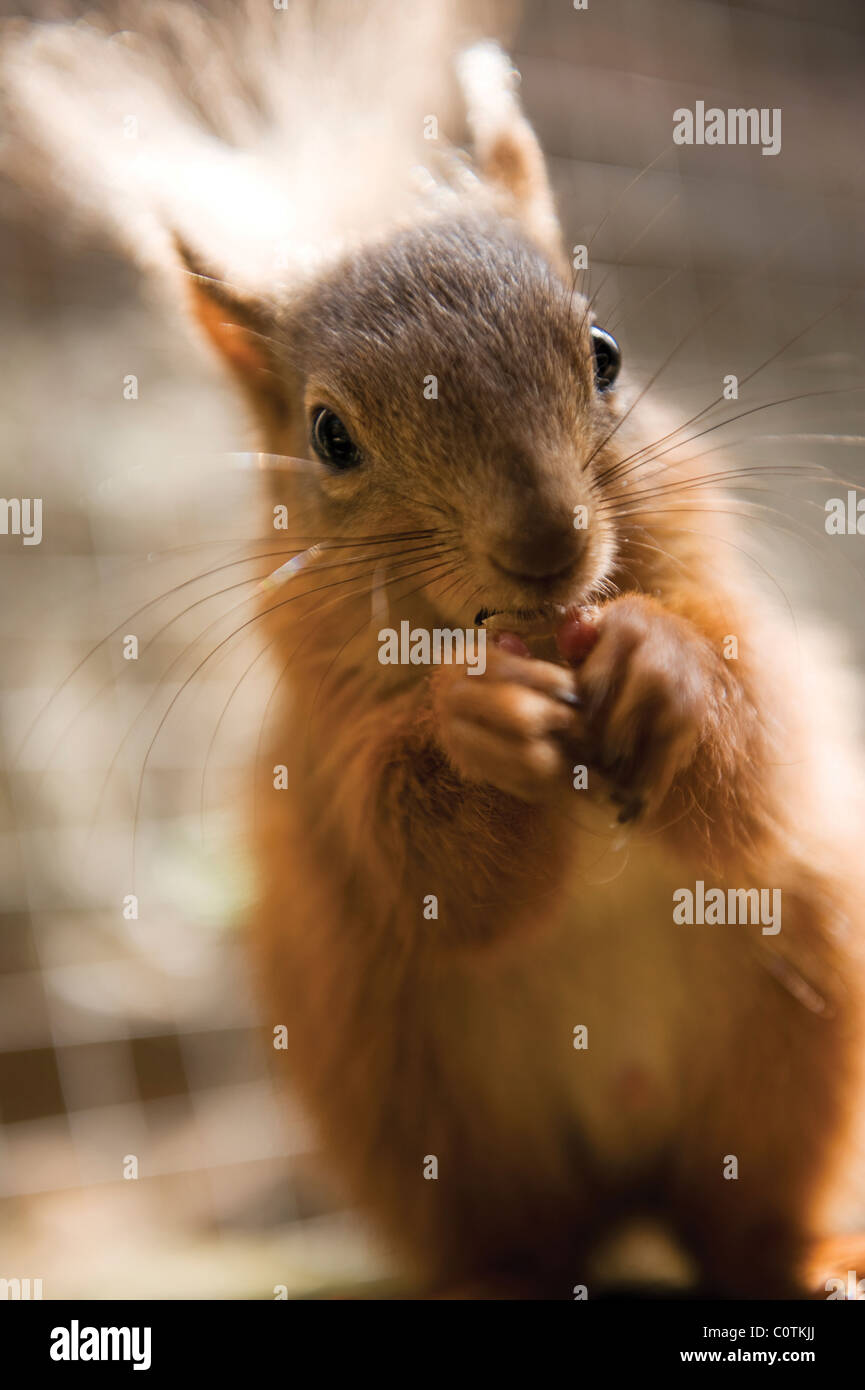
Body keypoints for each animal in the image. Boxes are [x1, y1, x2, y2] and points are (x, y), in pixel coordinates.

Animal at [6, 3, 865, 1298]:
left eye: (605, 351)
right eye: (327, 436)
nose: (546, 545)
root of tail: (628, 1186)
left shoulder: (766, 655)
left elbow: (754, 780)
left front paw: (662, 666)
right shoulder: (317, 752)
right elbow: (421, 869)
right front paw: (475, 732)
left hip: (796, 1024)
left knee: (747, 1217)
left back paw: (810, 1255)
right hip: (419, 1118)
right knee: (504, 1241)